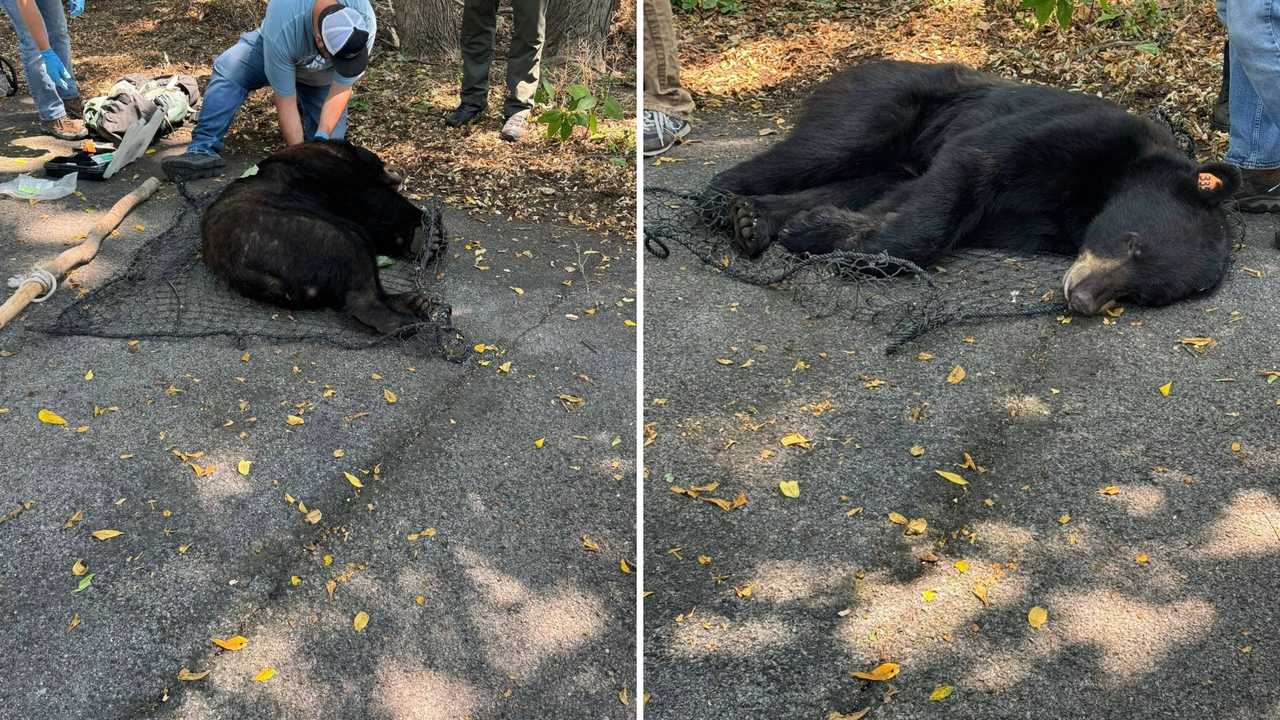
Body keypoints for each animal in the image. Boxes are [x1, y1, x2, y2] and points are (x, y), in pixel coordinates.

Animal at [201, 140, 450, 335]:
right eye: (379, 159)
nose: (398, 170)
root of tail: (236, 269)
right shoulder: (332, 171)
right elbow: (373, 201)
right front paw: (427, 235)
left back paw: (412, 302)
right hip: (298, 235)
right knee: (353, 258)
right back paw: (400, 321)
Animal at [709, 60, 1241, 316]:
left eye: (1145, 295)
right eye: (1132, 242)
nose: (1082, 298)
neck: (1097, 190)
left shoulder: (1035, 221)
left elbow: (915, 207)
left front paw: (822, 229)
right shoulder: (1066, 131)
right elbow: (970, 164)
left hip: (895, 155)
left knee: (862, 179)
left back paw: (754, 219)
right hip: (884, 103)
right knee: (823, 148)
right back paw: (718, 200)